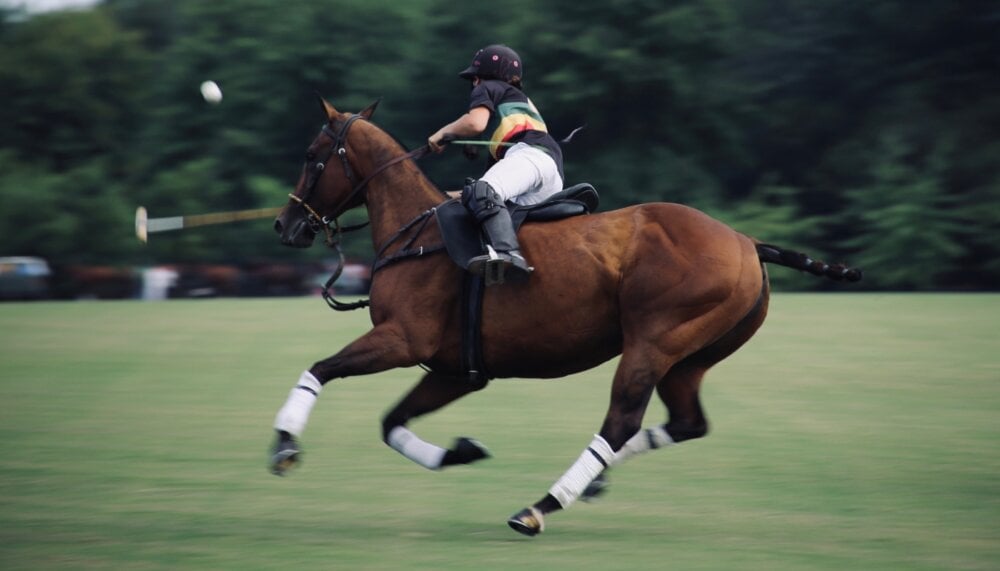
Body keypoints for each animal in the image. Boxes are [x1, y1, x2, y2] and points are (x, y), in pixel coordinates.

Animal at [269, 97, 862, 536]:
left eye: (312, 155)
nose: (285, 226)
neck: (415, 232)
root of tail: (747, 242)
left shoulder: (402, 340)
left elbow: (320, 369)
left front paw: (283, 446)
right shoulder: (455, 369)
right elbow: (392, 422)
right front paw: (461, 452)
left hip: (654, 341)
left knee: (621, 422)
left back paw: (540, 506)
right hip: (691, 356)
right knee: (686, 423)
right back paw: (592, 484)